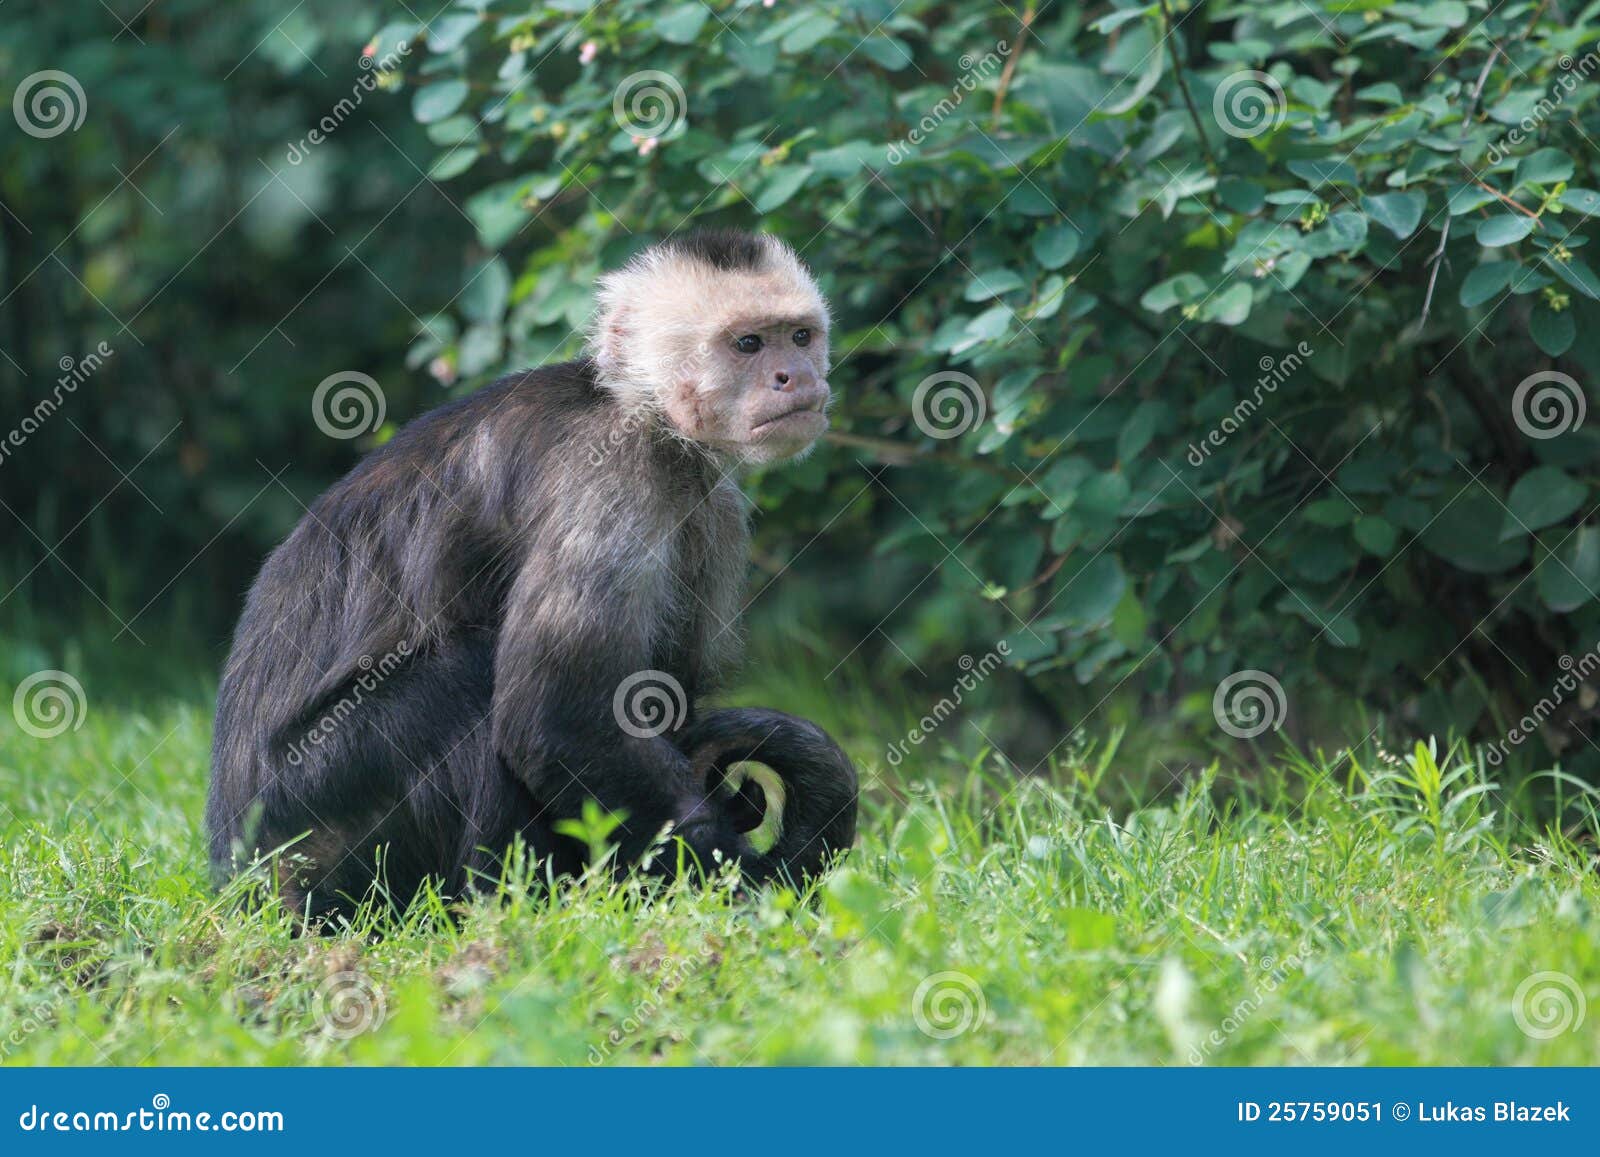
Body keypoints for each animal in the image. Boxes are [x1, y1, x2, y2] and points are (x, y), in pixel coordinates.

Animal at [206, 229, 858, 920]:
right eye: (748, 345)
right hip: (308, 838)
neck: (640, 409)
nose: (797, 375)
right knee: (463, 681)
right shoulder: (613, 476)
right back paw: (505, 908)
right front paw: (742, 893)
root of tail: (237, 877)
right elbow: (558, 721)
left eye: (799, 336)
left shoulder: (712, 504)